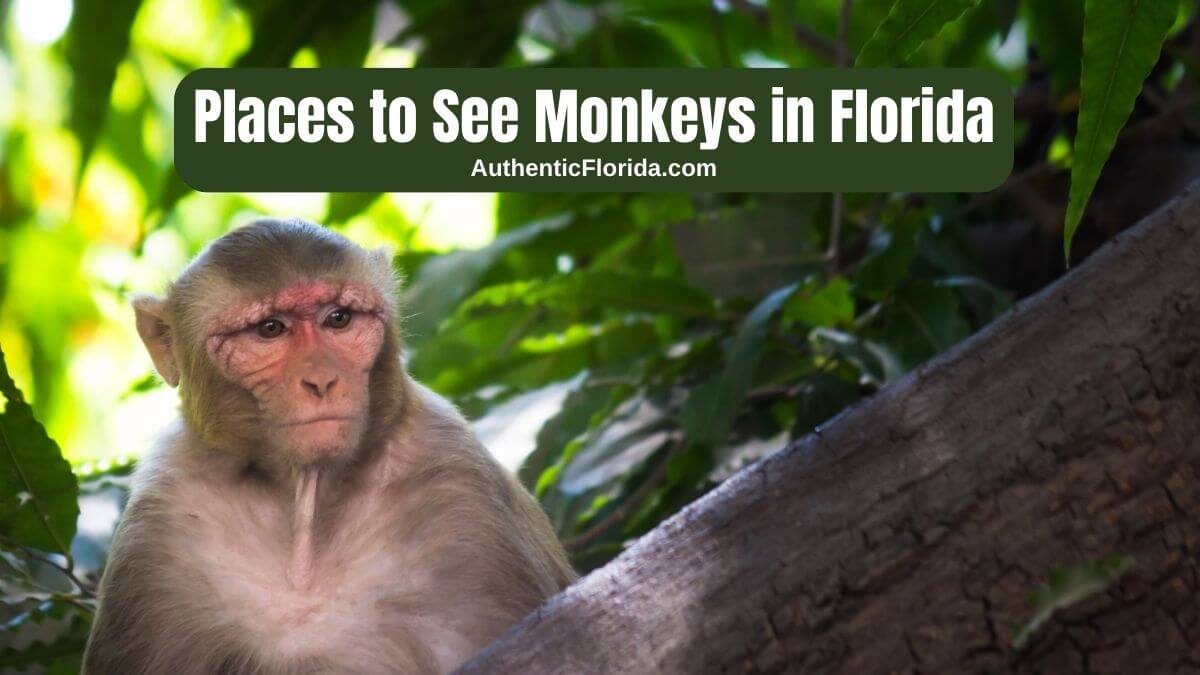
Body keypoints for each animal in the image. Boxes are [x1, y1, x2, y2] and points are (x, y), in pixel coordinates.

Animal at [83, 218, 576, 674]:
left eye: (338, 318)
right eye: (270, 329)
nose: (321, 380)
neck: (306, 504)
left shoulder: (462, 488)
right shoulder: (157, 524)